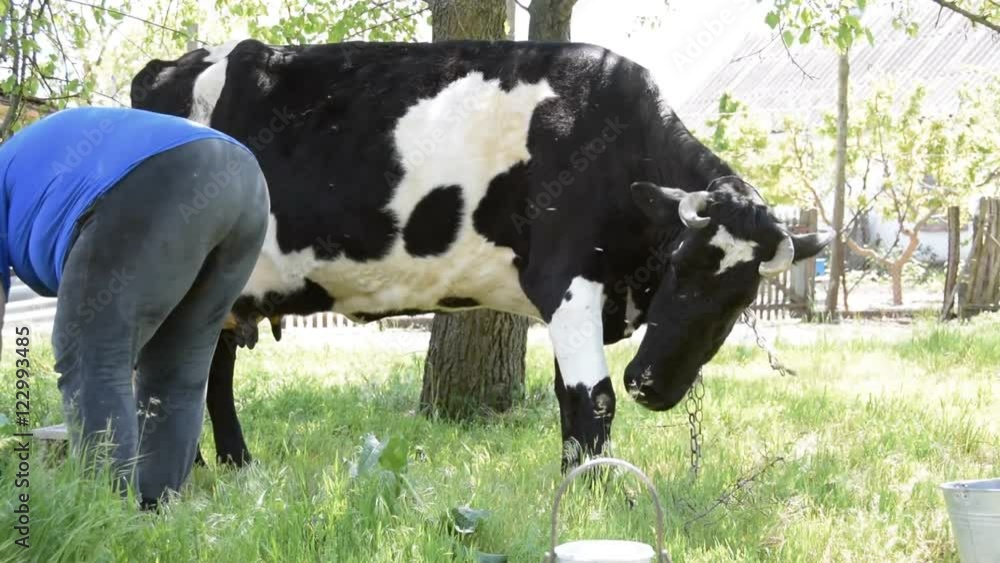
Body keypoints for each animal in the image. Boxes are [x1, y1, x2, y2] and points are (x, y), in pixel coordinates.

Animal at [130, 38, 830, 471]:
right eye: (682, 267)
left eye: (738, 298)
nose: (652, 386)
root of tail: (170, 66)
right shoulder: (568, 279)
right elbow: (593, 399)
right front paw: (597, 494)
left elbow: (568, 395)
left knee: (206, 371)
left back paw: (230, 466)